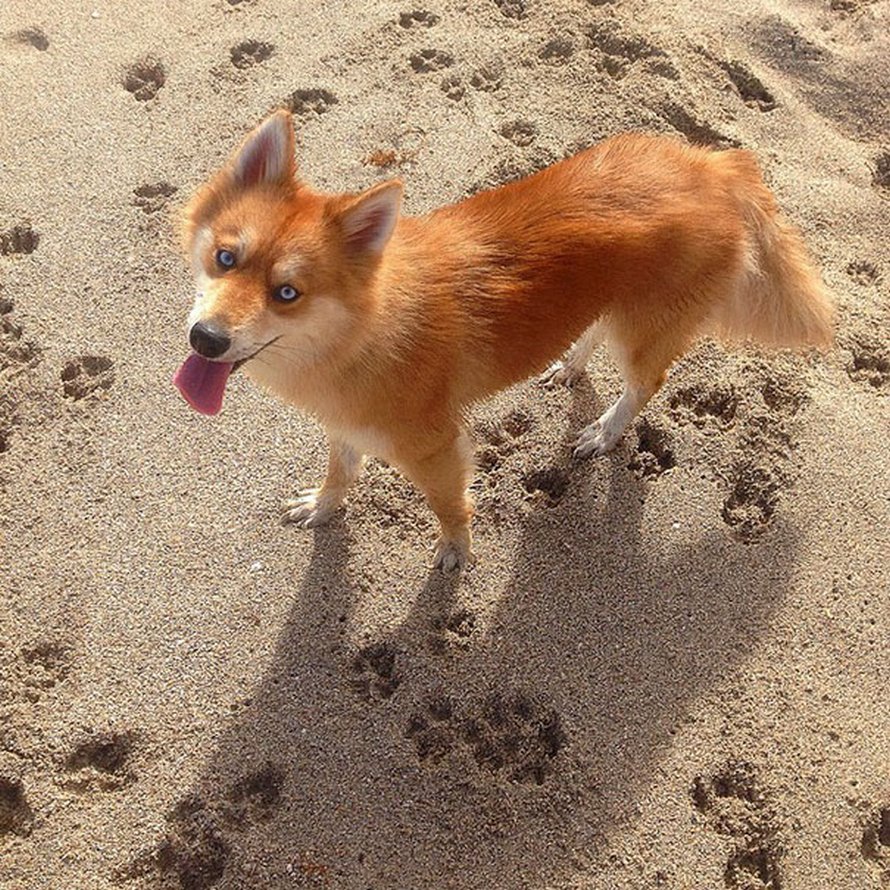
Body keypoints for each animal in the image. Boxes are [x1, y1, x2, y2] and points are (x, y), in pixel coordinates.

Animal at [174, 109, 833, 570]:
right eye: (225, 257)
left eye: (288, 293)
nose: (205, 340)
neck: (363, 331)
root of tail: (712, 167)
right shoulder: (346, 423)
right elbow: (340, 472)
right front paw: (325, 504)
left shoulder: (435, 450)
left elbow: (450, 507)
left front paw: (456, 553)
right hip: (611, 302)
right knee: (593, 332)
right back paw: (570, 365)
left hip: (643, 331)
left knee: (644, 384)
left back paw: (605, 431)